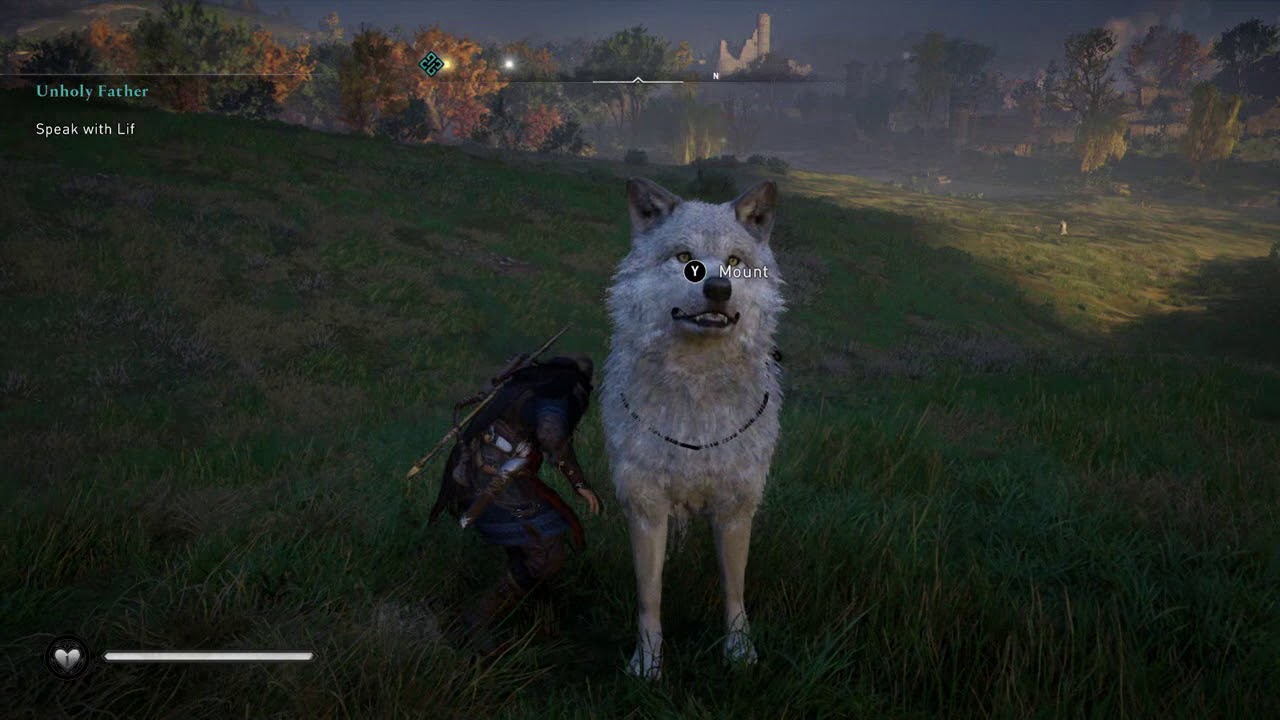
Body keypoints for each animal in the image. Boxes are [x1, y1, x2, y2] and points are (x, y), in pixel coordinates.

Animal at [601, 177, 784, 679]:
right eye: (686, 258)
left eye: (735, 261)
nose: (718, 289)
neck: (697, 394)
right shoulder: (644, 505)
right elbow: (649, 596)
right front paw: (646, 665)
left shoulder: (736, 505)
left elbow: (734, 589)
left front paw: (740, 653)